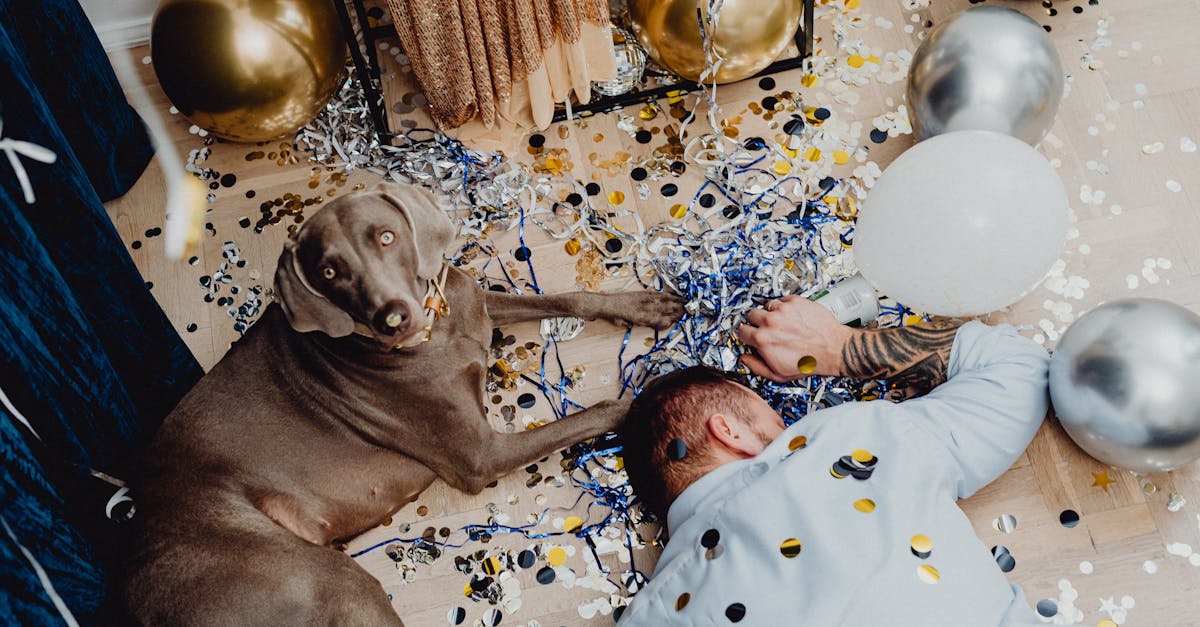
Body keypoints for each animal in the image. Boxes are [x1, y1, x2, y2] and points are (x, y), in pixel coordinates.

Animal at [127, 178, 686, 619]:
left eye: (386, 237)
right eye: (329, 272)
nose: (392, 318)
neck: (438, 333)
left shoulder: (476, 306)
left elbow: (569, 297)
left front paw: (643, 305)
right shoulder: (479, 455)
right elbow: (600, 411)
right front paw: (657, 395)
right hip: (326, 581)